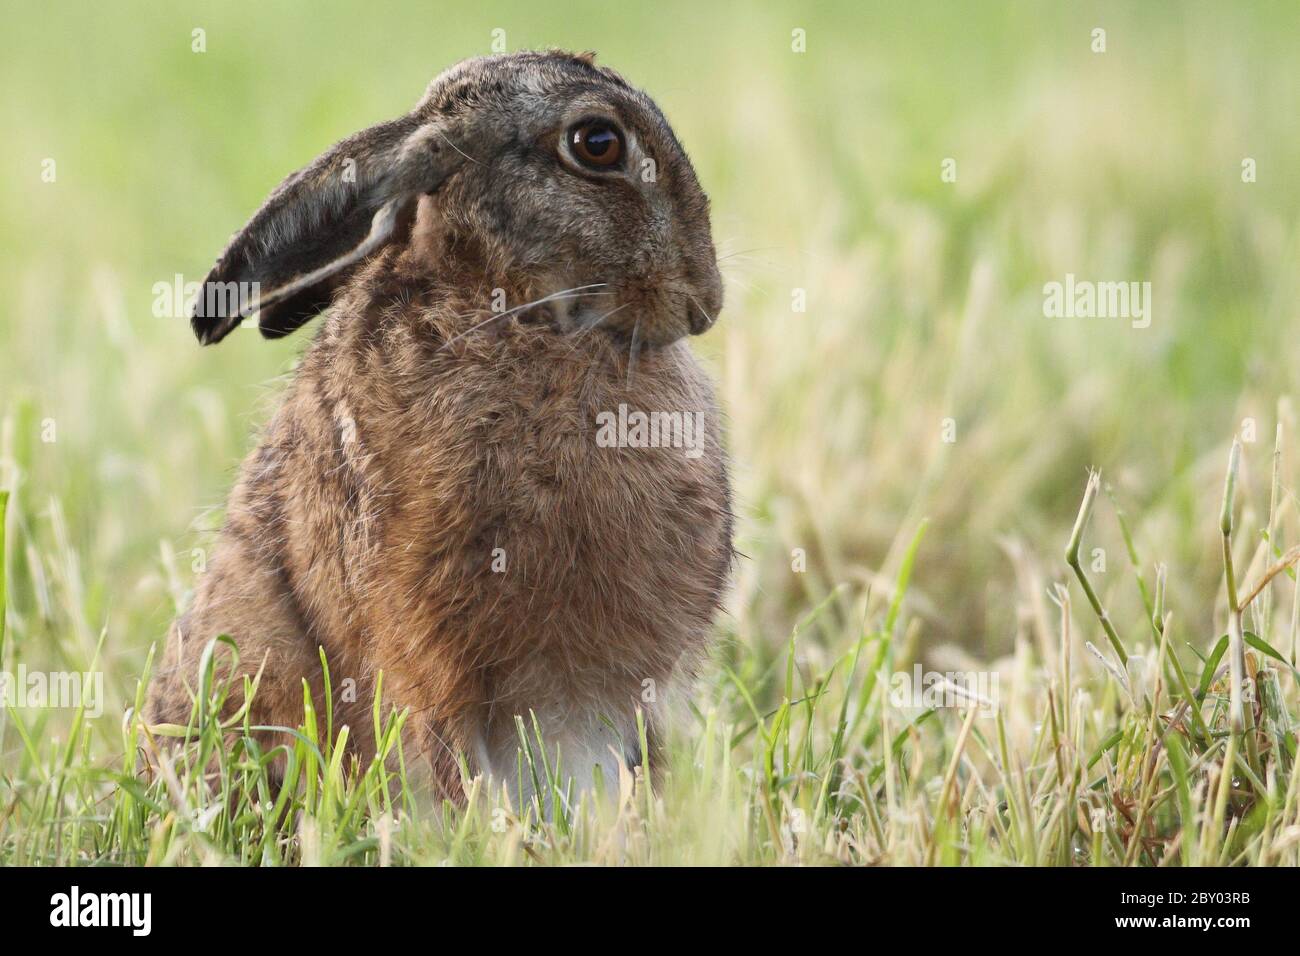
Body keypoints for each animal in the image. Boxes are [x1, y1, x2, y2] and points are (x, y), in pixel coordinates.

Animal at [145, 50, 733, 801]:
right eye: (597, 143)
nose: (704, 302)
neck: (514, 309)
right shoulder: (427, 646)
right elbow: (447, 742)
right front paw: (481, 820)